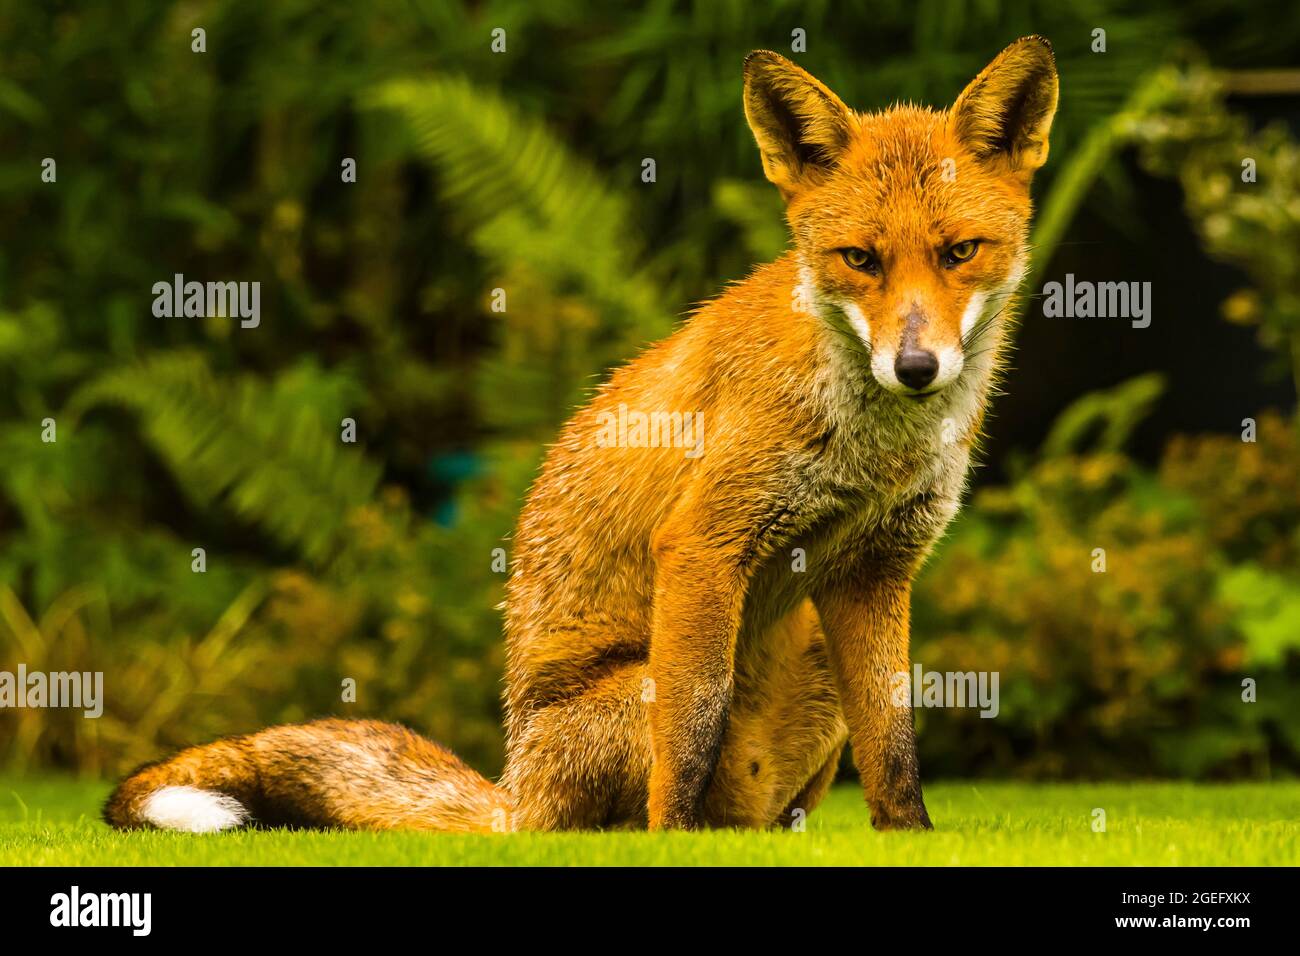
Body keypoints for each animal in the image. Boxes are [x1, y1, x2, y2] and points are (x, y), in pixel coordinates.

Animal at [105, 37, 1058, 834]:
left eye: (960, 251)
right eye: (861, 260)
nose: (916, 366)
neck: (872, 444)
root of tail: (513, 795)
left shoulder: (875, 569)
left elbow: (893, 744)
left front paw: (912, 840)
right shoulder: (704, 546)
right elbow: (690, 735)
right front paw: (671, 842)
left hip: (809, 655)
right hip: (636, 692)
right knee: (620, 802)